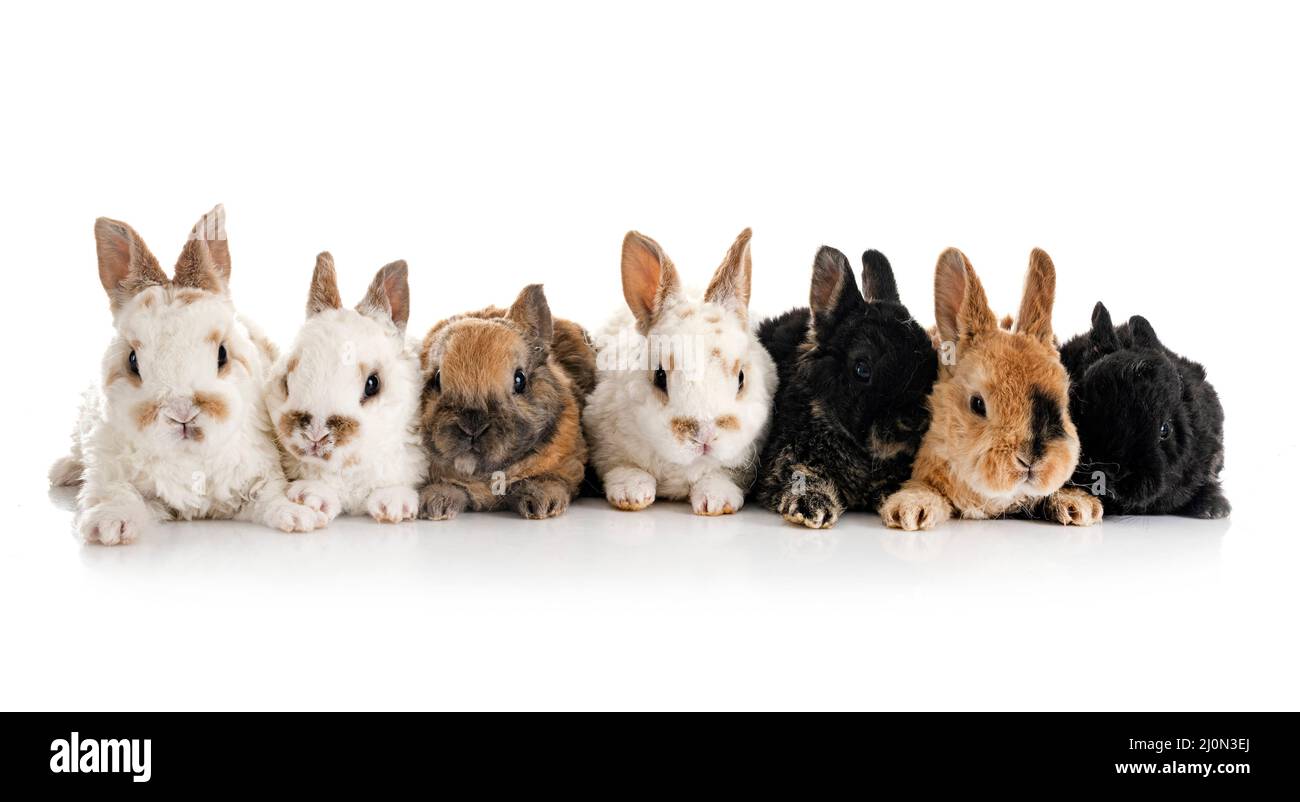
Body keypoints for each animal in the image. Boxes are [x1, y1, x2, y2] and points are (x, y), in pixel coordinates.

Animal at [49, 205, 327, 544]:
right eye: (132, 360)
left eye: (222, 354)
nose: (182, 412)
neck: (188, 457)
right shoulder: (109, 465)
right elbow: (115, 491)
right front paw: (109, 525)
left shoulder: (255, 475)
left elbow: (268, 495)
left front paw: (297, 516)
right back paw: (63, 471)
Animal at [417, 284, 596, 520]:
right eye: (437, 379)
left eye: (520, 380)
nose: (472, 426)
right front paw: (435, 505)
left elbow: (549, 479)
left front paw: (543, 504)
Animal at [584, 228, 777, 515]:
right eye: (659, 376)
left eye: (742, 378)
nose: (704, 437)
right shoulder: (606, 446)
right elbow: (623, 468)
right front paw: (632, 494)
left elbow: (721, 476)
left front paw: (716, 501)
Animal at [754, 246, 938, 529]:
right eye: (862, 369)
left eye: (932, 359)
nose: (915, 417)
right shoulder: (784, 460)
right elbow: (801, 475)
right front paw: (811, 508)